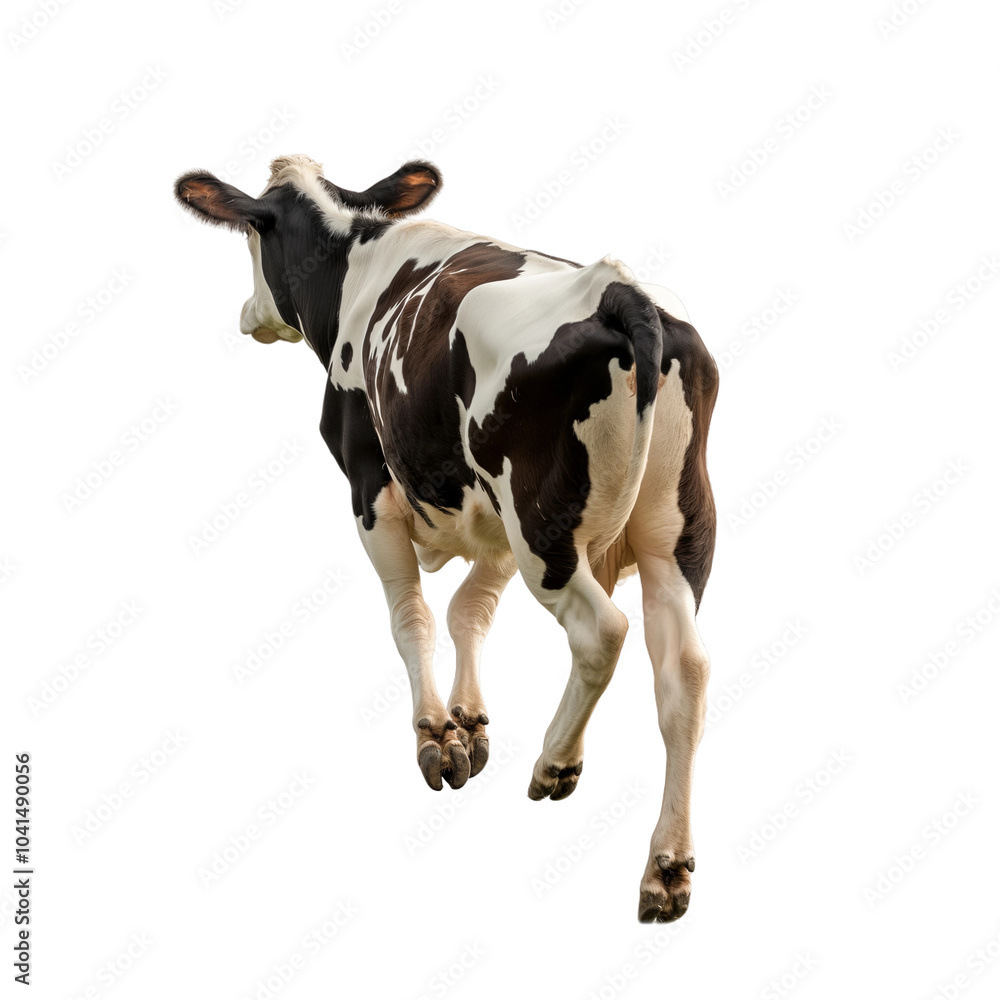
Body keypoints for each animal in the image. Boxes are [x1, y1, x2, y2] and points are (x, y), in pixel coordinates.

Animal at [174, 154, 718, 922]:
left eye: (253, 228)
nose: (249, 317)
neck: (358, 259)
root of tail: (620, 289)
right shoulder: (485, 518)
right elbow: (469, 611)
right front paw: (468, 721)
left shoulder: (371, 490)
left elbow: (415, 617)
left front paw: (435, 734)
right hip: (676, 528)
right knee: (685, 671)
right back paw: (668, 866)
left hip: (541, 527)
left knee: (603, 632)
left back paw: (557, 762)